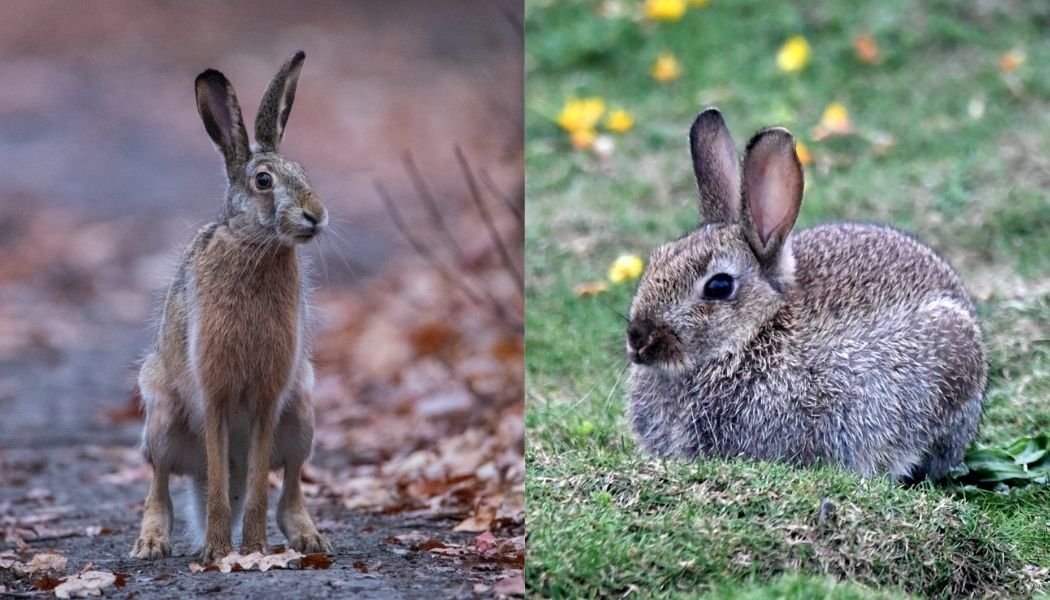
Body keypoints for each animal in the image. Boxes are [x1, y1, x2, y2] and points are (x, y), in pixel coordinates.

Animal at [129, 51, 331, 563]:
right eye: (263, 181)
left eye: (304, 171)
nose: (316, 216)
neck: (253, 242)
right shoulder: (213, 393)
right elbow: (218, 480)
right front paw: (218, 553)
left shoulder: (268, 397)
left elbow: (259, 486)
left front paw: (254, 549)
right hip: (161, 420)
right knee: (161, 482)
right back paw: (152, 544)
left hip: (302, 413)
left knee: (290, 484)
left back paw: (308, 537)